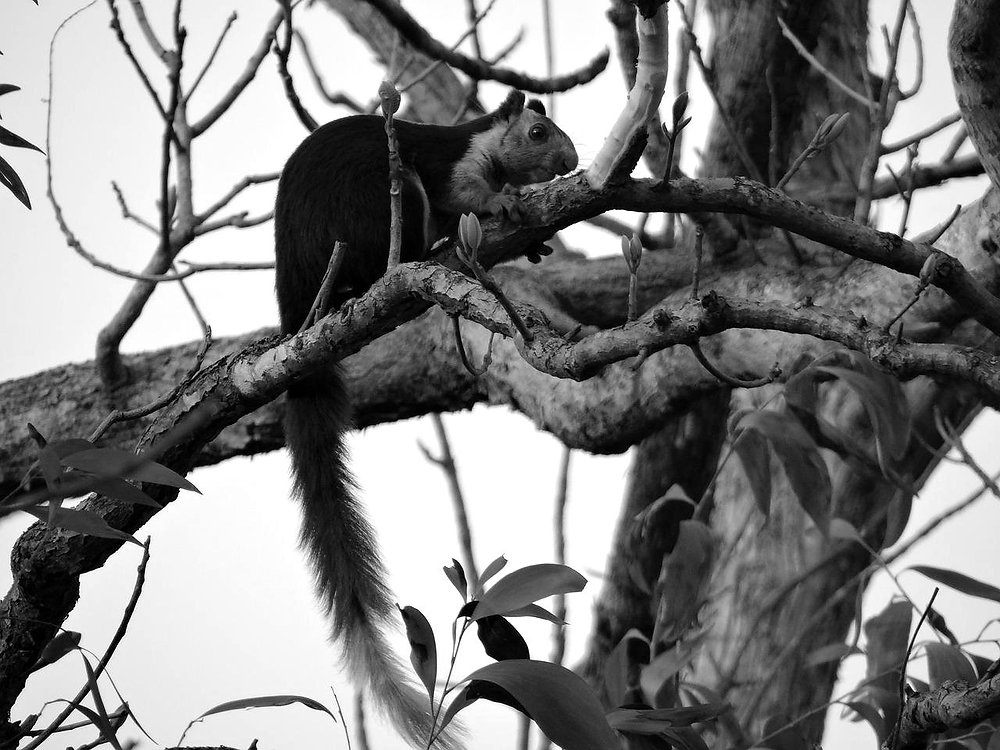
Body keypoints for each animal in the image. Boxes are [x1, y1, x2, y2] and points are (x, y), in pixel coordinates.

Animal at [273, 90, 577, 746]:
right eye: (537, 133)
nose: (569, 161)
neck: (484, 145)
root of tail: (298, 304)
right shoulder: (447, 169)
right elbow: (462, 197)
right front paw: (501, 203)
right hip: (382, 201)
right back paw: (414, 257)